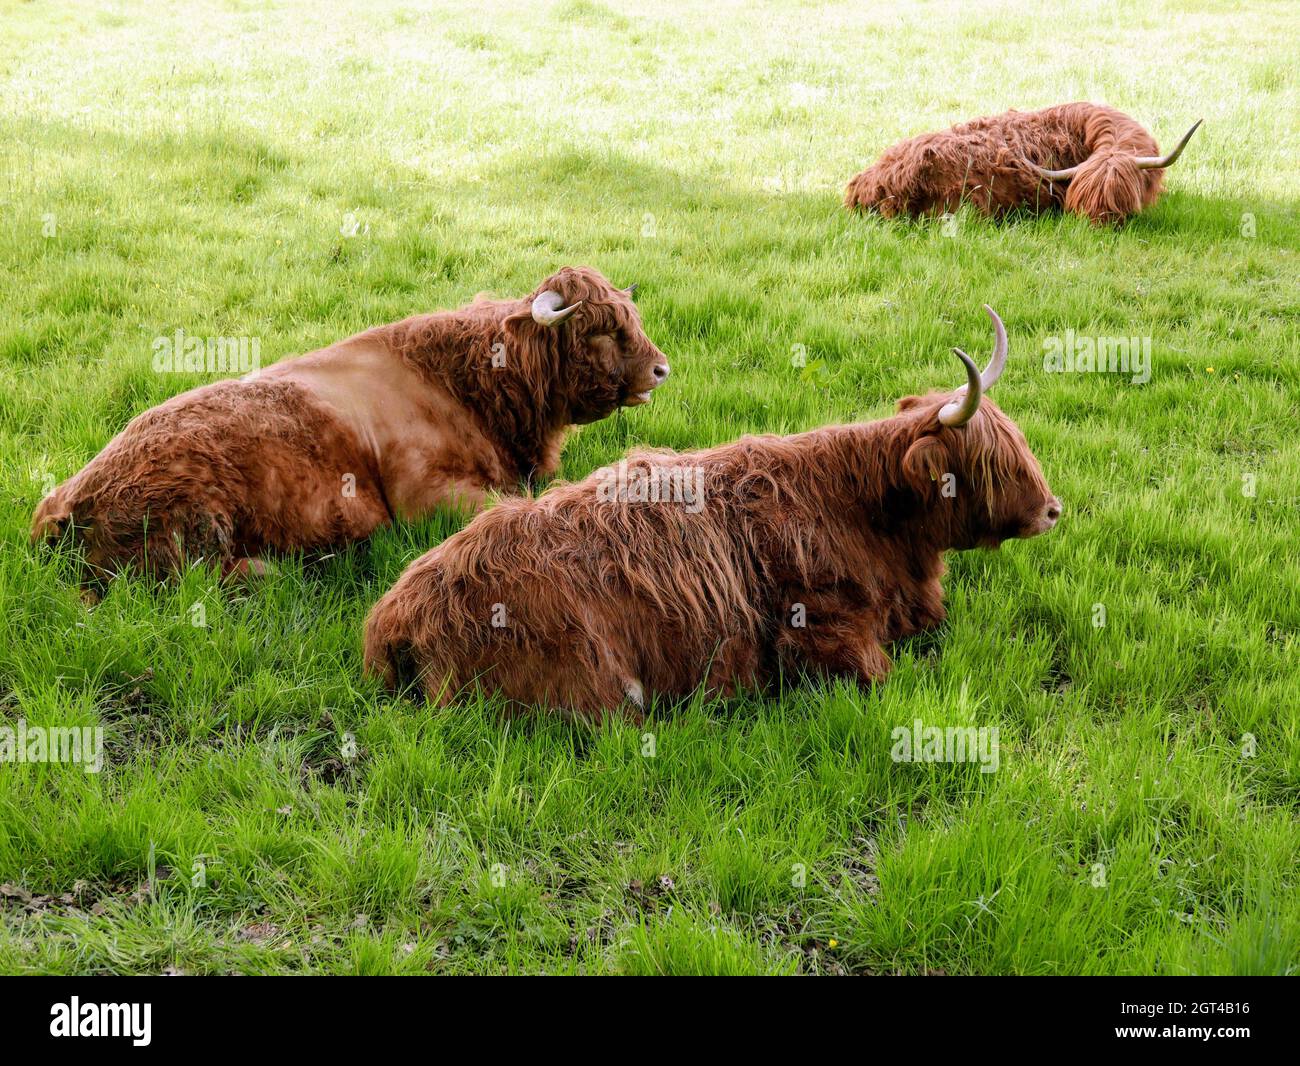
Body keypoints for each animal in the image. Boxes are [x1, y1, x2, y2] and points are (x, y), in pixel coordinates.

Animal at [363, 306, 1062, 721]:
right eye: (990, 463)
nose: (1053, 510)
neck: (863, 513)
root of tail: (396, 613)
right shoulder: (825, 636)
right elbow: (882, 672)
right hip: (599, 687)